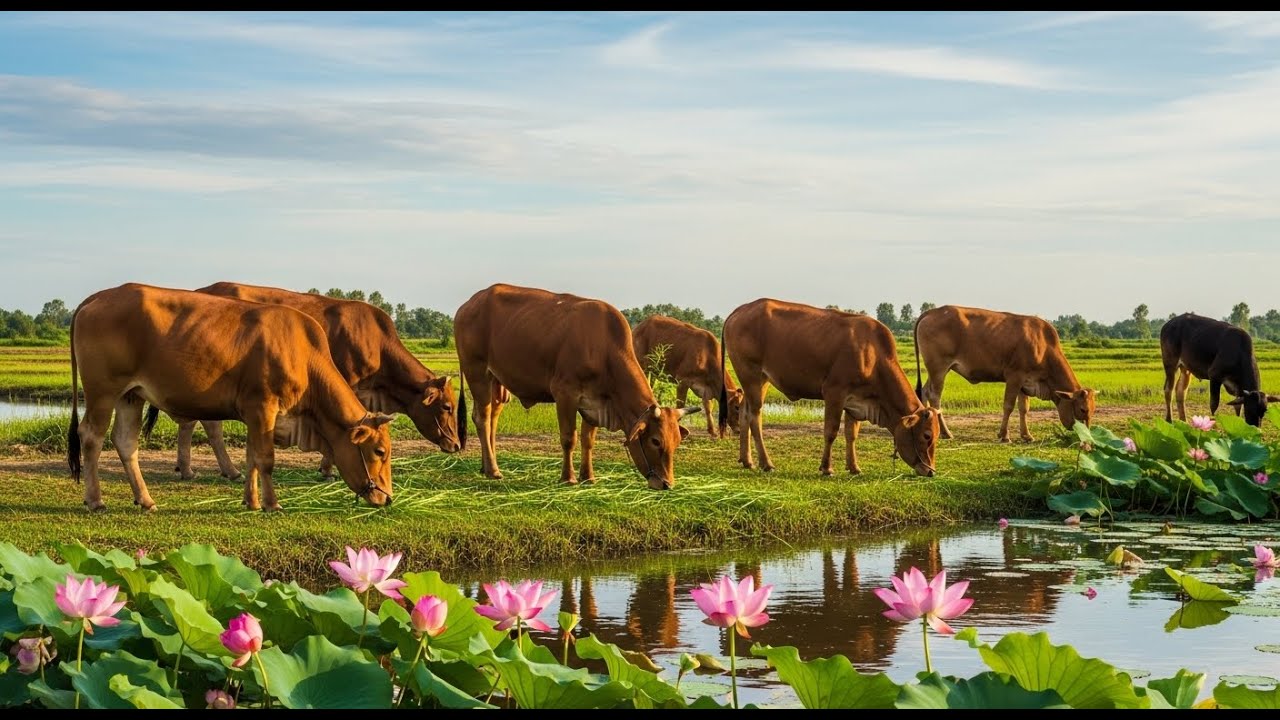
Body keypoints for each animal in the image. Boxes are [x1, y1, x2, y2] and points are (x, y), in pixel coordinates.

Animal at [67, 283, 395, 512]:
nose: (387, 498)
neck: (304, 355)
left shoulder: (255, 415)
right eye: (379, 451)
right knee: (92, 437)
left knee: (125, 442)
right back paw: (95, 500)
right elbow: (265, 460)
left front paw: (251, 501)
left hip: (130, 396)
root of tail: (96, 298)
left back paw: (145, 499)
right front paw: (271, 504)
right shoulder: (263, 407)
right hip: (102, 392)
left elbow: (251, 458)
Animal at [159, 282, 461, 482]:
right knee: (206, 424)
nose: (457, 444)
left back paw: (193, 468)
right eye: (447, 407)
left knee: (192, 422)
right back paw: (221, 470)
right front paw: (328, 469)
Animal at [454, 283, 697, 490]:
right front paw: (568, 477)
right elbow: (568, 438)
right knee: (482, 419)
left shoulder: (594, 401)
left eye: (677, 441)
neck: (604, 349)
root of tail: (468, 305)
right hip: (477, 373)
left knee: (492, 419)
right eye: (655, 441)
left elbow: (587, 441)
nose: (666, 484)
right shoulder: (565, 395)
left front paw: (588, 477)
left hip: (497, 382)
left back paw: (486, 466)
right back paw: (493, 470)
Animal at [723, 298, 939, 477]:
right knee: (755, 417)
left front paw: (854, 467)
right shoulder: (834, 393)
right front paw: (827, 468)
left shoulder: (856, 401)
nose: (930, 471)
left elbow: (851, 434)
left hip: (761, 380)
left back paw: (747, 460)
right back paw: (766, 463)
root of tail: (738, 311)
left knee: (744, 413)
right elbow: (831, 431)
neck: (873, 355)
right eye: (926, 435)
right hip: (751, 376)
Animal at [913, 305, 1096, 443]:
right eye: (1083, 409)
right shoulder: (1014, 377)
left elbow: (1024, 409)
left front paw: (1026, 435)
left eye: (1093, 409)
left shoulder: (1025, 383)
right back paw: (946, 432)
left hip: (936, 370)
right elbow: (1008, 406)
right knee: (935, 396)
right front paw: (1004, 435)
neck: (1044, 347)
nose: (1087, 436)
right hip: (939, 368)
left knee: (925, 391)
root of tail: (933, 311)